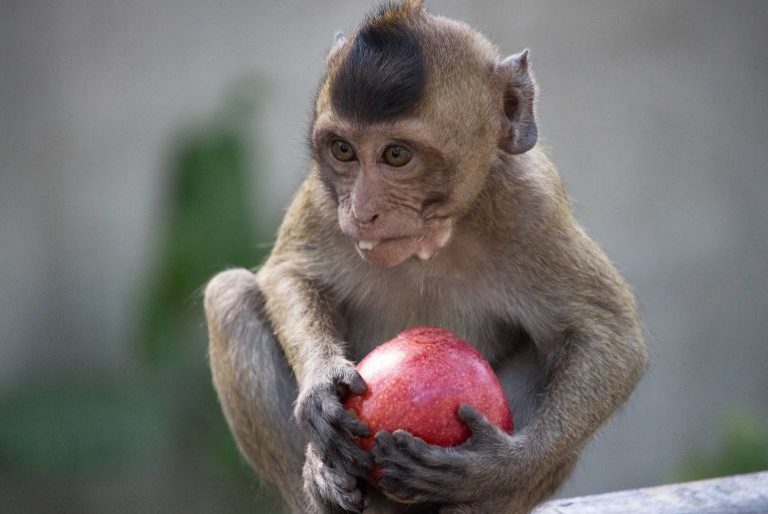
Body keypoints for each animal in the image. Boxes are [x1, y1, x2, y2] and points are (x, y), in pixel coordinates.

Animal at [204, 1, 648, 513]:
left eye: (397, 155)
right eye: (343, 150)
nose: (362, 211)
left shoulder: (530, 206)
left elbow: (608, 333)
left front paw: (498, 466)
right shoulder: (323, 196)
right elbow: (289, 274)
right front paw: (321, 387)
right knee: (229, 296)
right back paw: (323, 486)